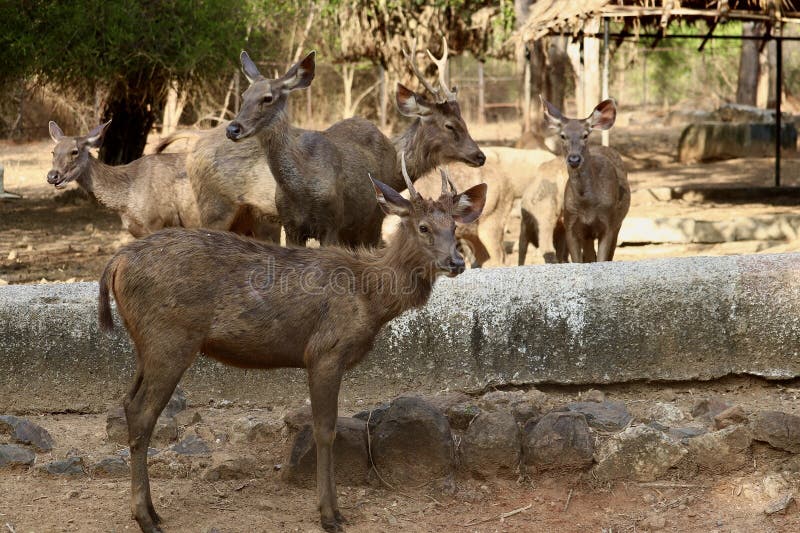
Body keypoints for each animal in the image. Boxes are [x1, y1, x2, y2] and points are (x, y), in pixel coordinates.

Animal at [98, 155, 487, 533]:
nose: (456, 262)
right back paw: (146, 518)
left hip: (146, 345)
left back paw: (151, 511)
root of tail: (115, 263)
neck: (371, 297)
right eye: (423, 227)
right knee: (143, 412)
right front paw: (330, 514)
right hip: (170, 340)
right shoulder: (325, 351)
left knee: (127, 402)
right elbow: (325, 430)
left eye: (454, 227)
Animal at [541, 97, 630, 262]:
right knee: (589, 255)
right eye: (562, 135)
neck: (587, 206)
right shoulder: (571, 224)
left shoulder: (608, 223)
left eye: (585, 135)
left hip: (618, 223)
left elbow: (602, 258)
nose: (574, 159)